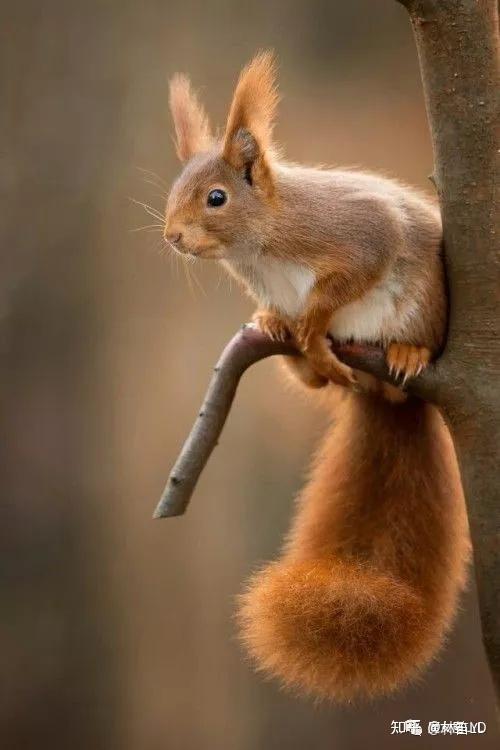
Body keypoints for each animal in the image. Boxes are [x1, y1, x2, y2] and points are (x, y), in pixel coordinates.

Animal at [164, 52, 470, 702]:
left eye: (217, 197)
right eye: (175, 191)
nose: (171, 236)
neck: (260, 248)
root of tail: (390, 397)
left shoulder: (360, 235)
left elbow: (345, 281)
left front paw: (311, 323)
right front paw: (281, 322)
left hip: (425, 305)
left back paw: (405, 352)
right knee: (312, 383)